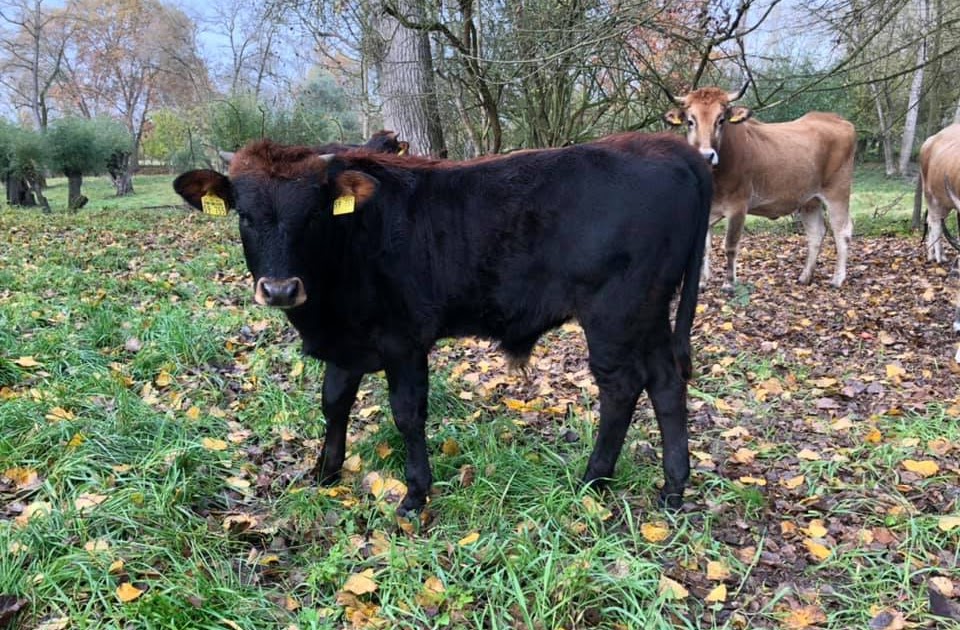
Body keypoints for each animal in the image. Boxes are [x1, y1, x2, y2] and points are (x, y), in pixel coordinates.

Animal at [173, 135, 712, 515]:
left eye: (313, 214)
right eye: (244, 215)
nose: (281, 289)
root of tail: (669, 146)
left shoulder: (403, 340)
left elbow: (407, 414)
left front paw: (415, 493)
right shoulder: (348, 343)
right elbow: (333, 403)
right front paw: (325, 472)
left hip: (613, 313)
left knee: (621, 387)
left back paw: (593, 479)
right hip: (649, 313)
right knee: (666, 383)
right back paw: (673, 486)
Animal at [663, 86, 857, 289]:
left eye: (721, 120)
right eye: (690, 121)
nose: (707, 155)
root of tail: (835, 118)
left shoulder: (738, 206)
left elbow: (730, 245)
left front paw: (729, 283)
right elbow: (704, 247)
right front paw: (701, 282)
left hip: (837, 192)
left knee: (842, 231)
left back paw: (837, 279)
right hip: (810, 199)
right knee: (816, 233)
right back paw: (805, 276)